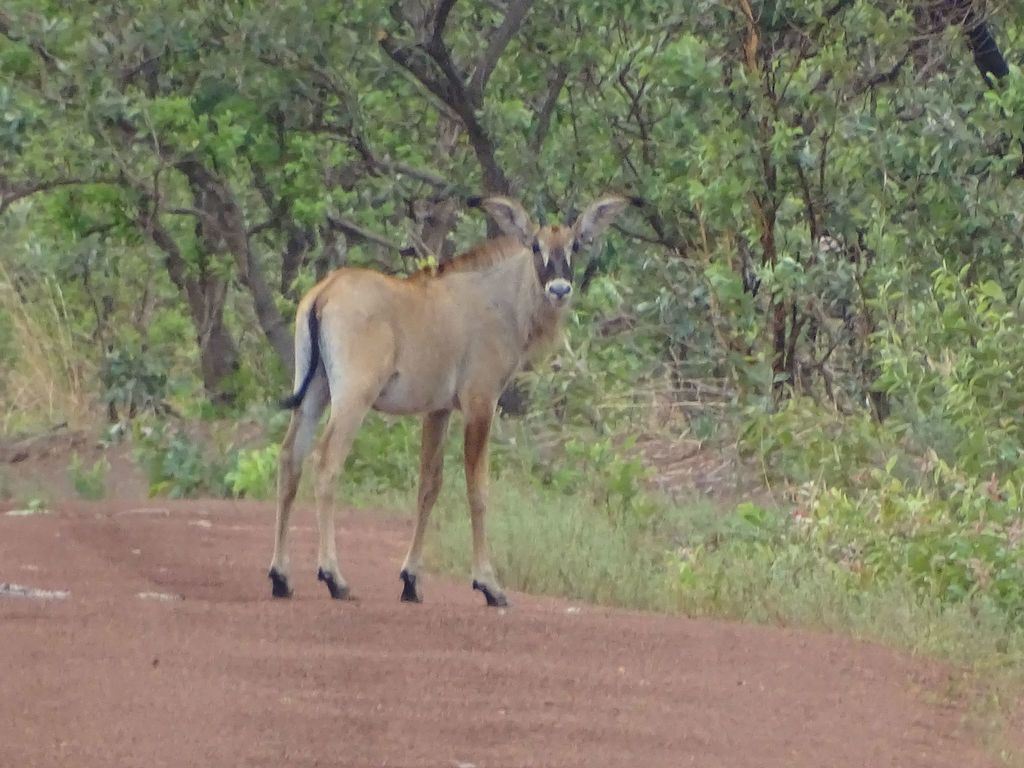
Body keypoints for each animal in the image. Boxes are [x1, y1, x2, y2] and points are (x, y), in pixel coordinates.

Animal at [268, 194, 637, 606]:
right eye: (535, 246)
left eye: (574, 245)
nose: (559, 289)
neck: (498, 298)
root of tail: (325, 292)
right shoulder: (480, 402)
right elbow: (478, 489)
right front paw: (488, 583)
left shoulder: (438, 409)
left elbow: (429, 485)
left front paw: (411, 580)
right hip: (352, 397)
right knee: (326, 462)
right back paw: (334, 577)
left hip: (314, 392)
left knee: (290, 458)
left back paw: (281, 577)